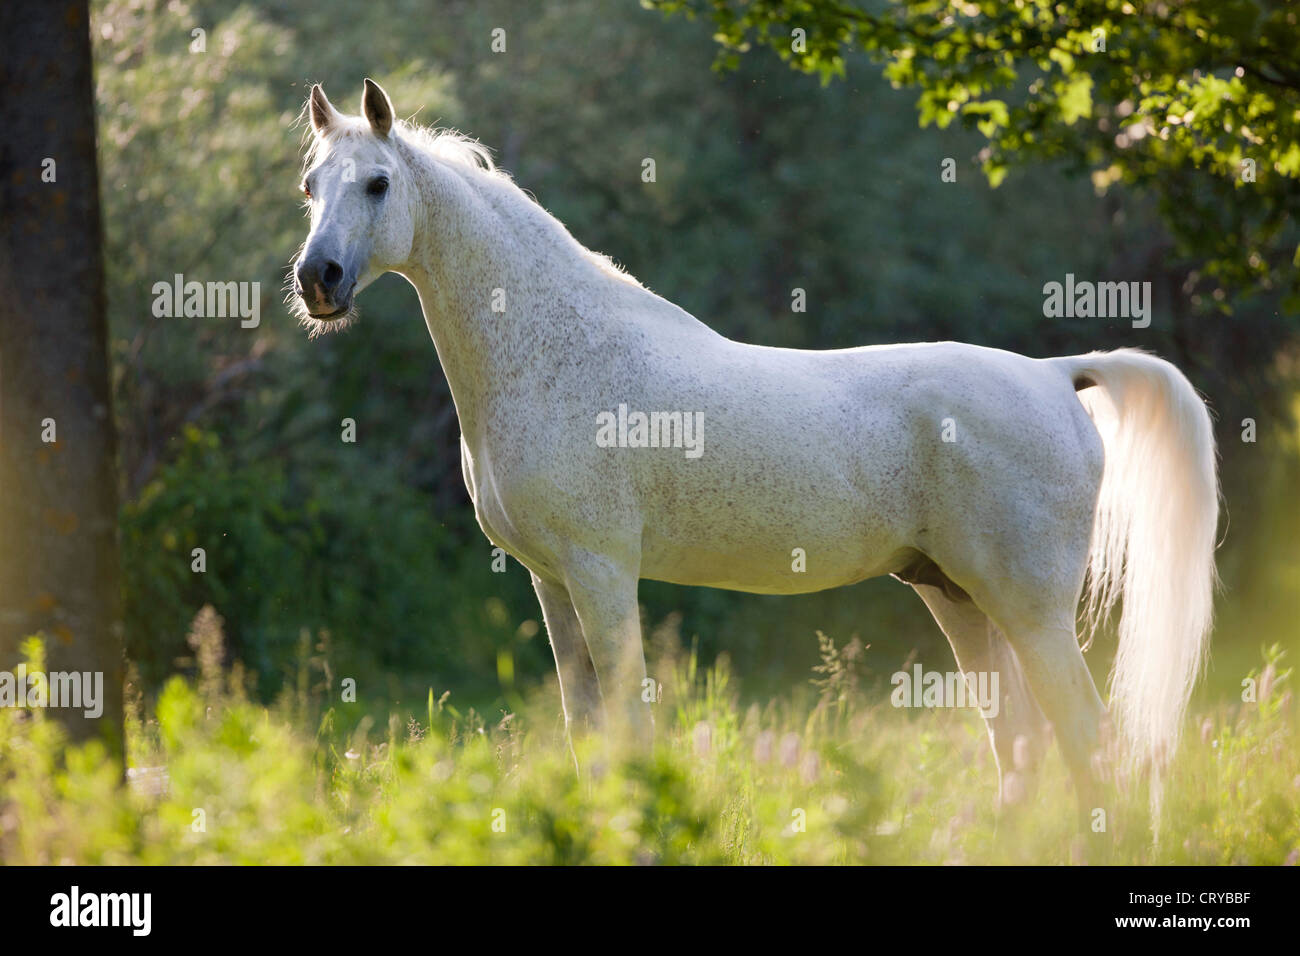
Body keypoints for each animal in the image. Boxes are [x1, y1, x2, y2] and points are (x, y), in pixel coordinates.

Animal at [290, 79, 1219, 812]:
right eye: (310, 185)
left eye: (377, 183)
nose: (317, 280)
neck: (558, 352)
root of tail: (1057, 376)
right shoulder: (550, 581)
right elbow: (586, 730)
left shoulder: (601, 571)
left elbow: (629, 725)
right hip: (958, 598)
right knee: (1022, 749)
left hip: (1031, 610)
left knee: (1089, 740)